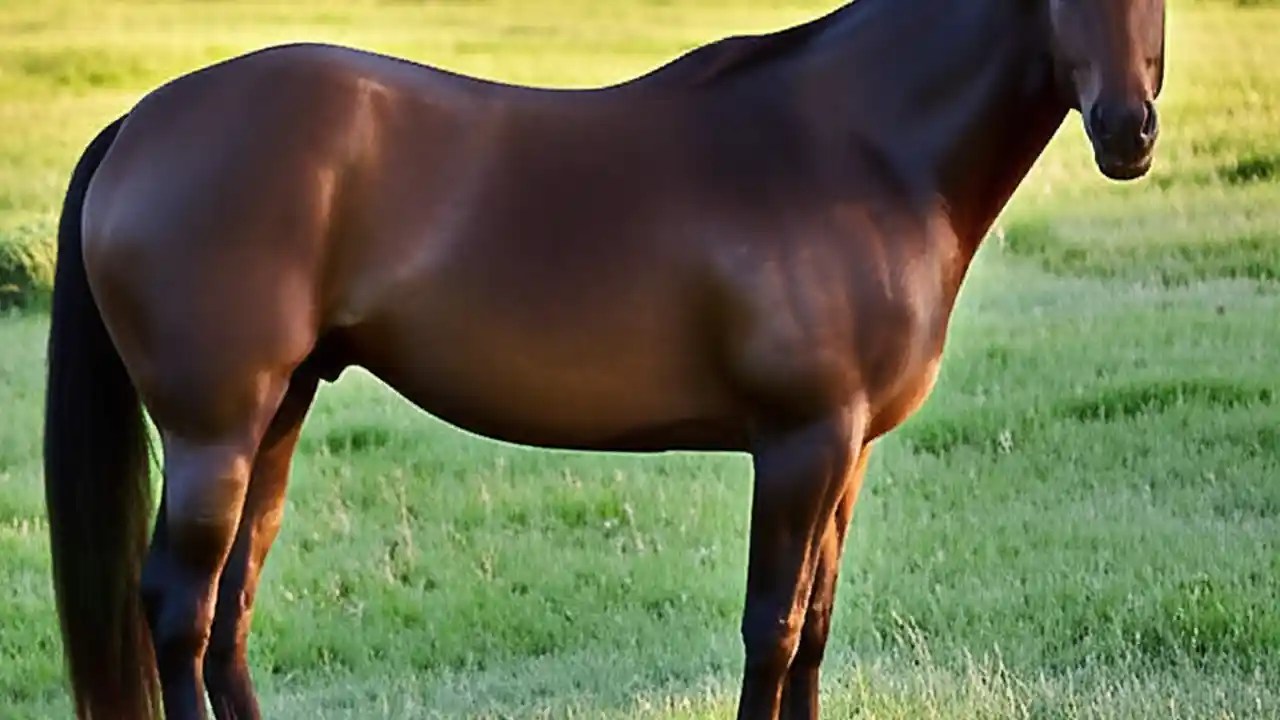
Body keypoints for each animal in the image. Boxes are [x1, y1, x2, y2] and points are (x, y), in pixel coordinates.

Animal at [42, 0, 1166, 717]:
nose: (1127, 133)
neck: (856, 149)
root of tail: (141, 121)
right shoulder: (799, 445)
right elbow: (771, 626)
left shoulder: (847, 451)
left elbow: (812, 629)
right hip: (213, 434)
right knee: (178, 613)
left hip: (276, 418)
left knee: (228, 613)